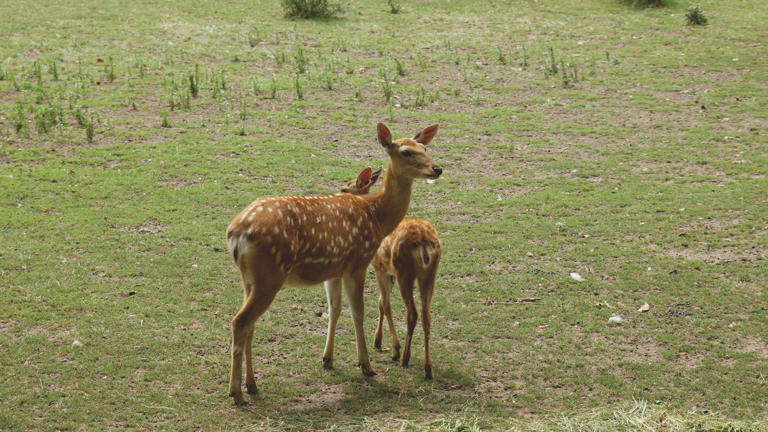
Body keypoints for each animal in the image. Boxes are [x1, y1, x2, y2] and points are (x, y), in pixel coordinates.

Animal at [338, 168, 442, 379]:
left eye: (345, 188)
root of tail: (424, 242)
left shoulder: (380, 267)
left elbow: (385, 304)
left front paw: (393, 348)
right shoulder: (389, 272)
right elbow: (380, 302)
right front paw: (377, 340)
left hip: (405, 272)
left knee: (412, 313)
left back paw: (404, 358)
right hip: (429, 274)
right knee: (427, 314)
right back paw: (428, 368)